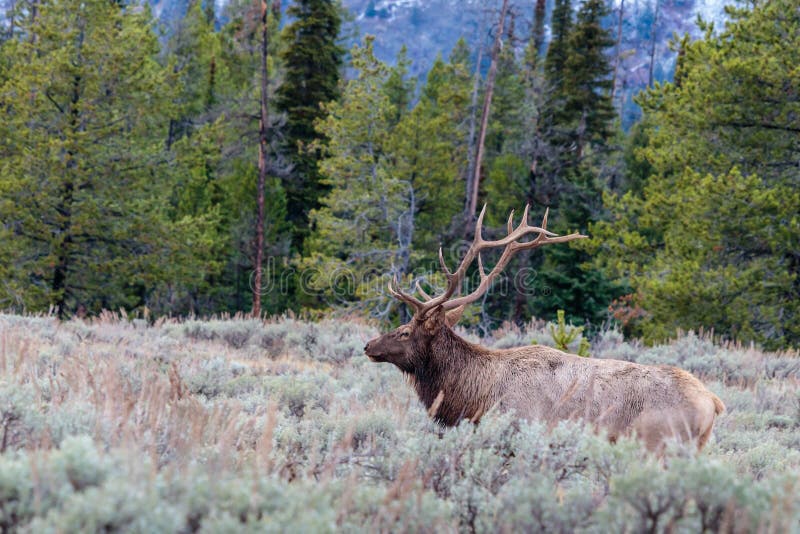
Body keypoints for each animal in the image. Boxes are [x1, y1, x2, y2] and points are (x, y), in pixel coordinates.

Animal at [364, 205, 725, 452]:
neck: (474, 396)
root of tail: (713, 402)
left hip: (660, 442)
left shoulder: (520, 427)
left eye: (405, 331)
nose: (368, 345)